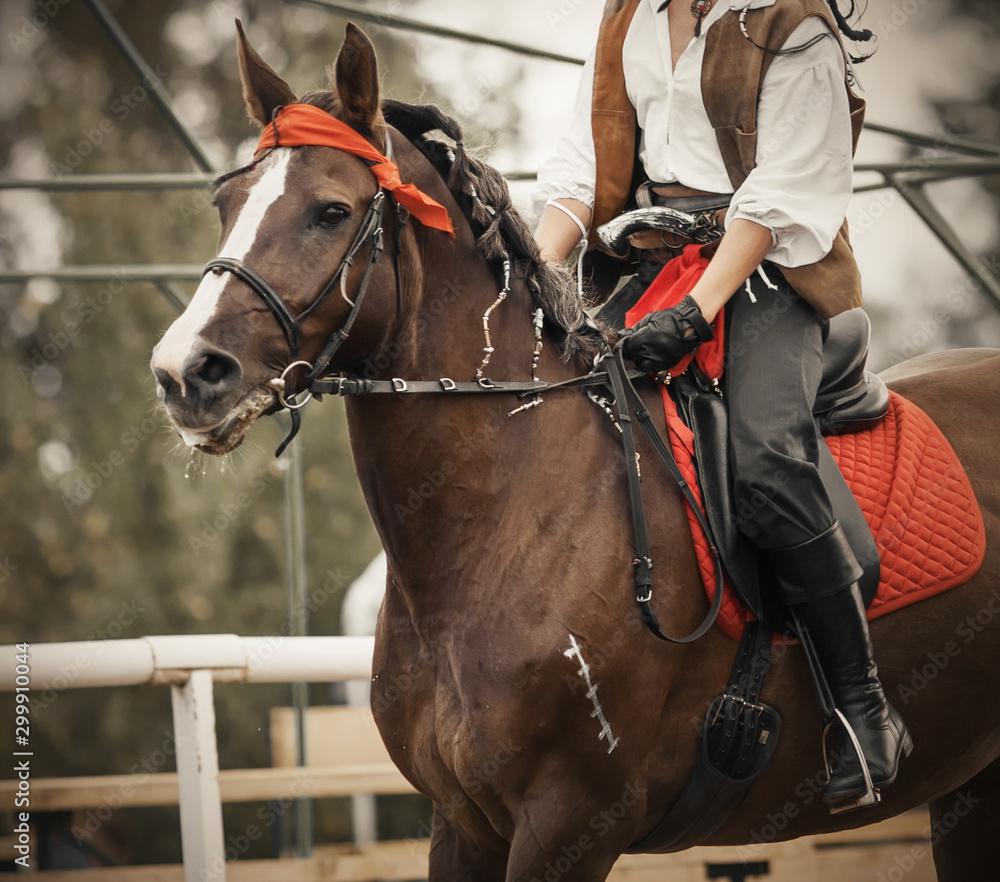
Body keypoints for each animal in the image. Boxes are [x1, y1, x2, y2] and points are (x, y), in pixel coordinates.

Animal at [150, 23, 1000, 881]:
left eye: (330, 211)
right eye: (225, 203)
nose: (186, 374)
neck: (505, 518)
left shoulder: (573, 823)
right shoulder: (461, 823)